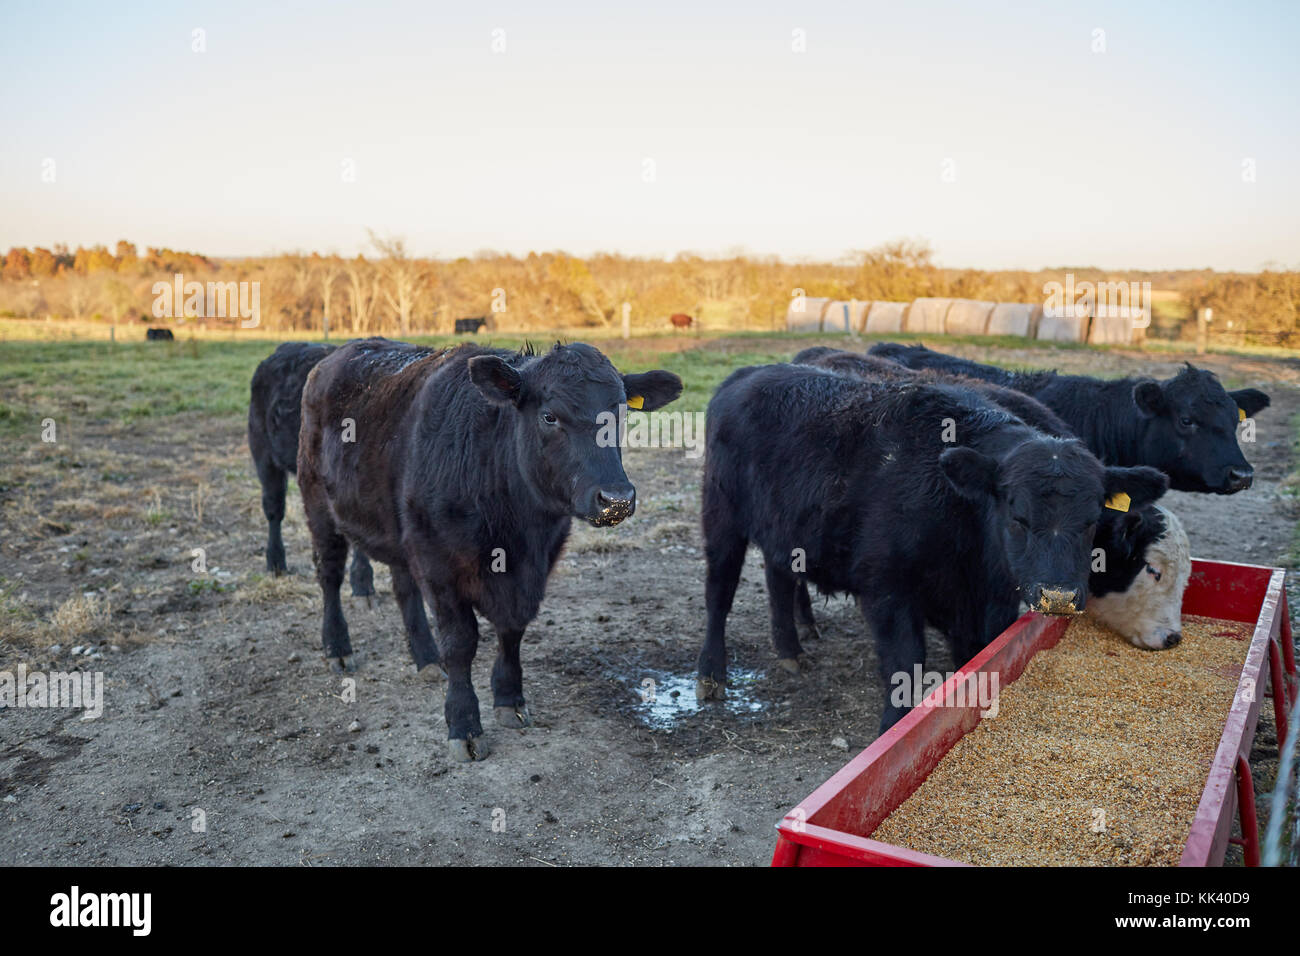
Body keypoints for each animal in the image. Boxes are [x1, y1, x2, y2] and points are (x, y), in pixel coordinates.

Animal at [298, 338, 683, 761]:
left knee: (403, 588)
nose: (616, 500)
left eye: (621, 413)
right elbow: (461, 642)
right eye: (549, 416)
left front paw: (510, 698)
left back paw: (425, 658)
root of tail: (339, 354)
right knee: (330, 574)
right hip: (318, 504)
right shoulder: (438, 564)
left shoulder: (534, 566)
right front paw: (464, 723)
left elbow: (512, 629)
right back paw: (338, 648)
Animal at [698, 362, 1168, 733]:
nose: (1059, 597)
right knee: (719, 592)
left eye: (1091, 520)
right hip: (722, 519)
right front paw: (891, 731)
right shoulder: (887, 591)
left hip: (783, 531)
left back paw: (791, 650)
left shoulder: (988, 605)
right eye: (1017, 517)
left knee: (778, 579)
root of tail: (748, 374)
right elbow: (906, 665)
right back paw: (711, 675)